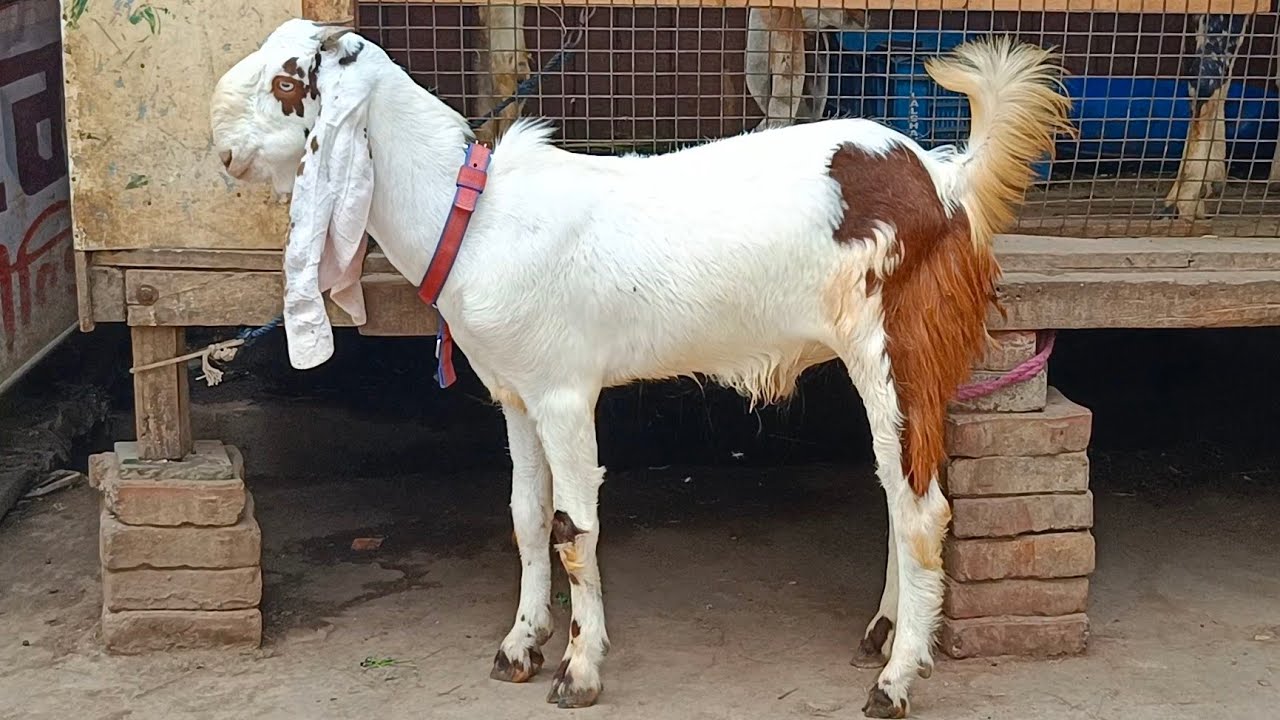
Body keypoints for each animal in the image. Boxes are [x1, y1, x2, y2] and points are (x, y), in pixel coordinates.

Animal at [211, 20, 1071, 718]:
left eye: (287, 82)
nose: (221, 151)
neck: (475, 213)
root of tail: (943, 180)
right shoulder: (514, 392)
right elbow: (524, 517)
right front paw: (520, 645)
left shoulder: (564, 393)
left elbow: (573, 527)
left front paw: (579, 671)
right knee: (898, 489)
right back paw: (887, 631)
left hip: (897, 346)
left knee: (920, 508)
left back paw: (894, 681)